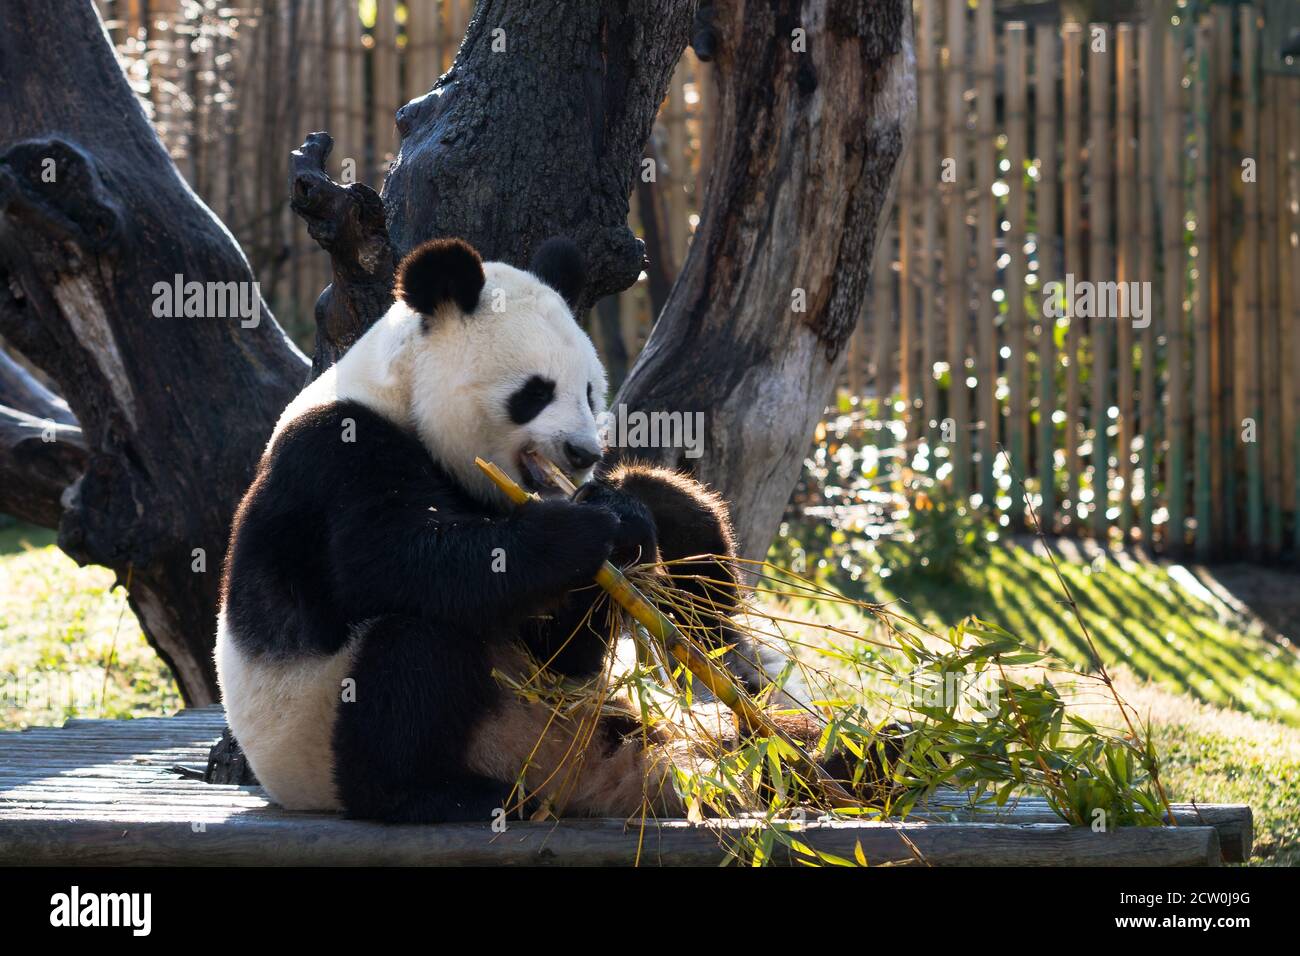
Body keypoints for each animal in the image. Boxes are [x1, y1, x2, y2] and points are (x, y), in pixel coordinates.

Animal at [214, 236, 777, 824]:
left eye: (590, 392)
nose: (583, 453)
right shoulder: (335, 453)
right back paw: (438, 793)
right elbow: (392, 558)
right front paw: (584, 528)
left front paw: (631, 509)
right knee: (414, 646)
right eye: (536, 392)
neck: (402, 395)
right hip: (315, 724)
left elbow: (561, 648)